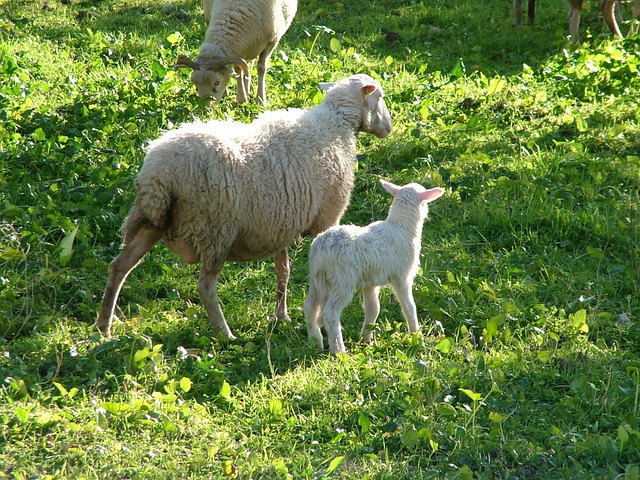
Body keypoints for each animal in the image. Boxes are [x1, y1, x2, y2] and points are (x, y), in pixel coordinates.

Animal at [94, 73, 393, 339]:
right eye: (380, 96)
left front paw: (281, 315)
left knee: (119, 267)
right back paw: (224, 333)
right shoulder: (326, 219)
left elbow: (283, 271)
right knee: (205, 286)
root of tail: (159, 173)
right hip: (215, 230)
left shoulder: (282, 222)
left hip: (149, 220)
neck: (336, 124)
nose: (389, 129)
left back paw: (103, 325)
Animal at [304, 179, 445, 355]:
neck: (401, 226)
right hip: (342, 280)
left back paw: (314, 342)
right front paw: (417, 337)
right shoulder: (401, 276)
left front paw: (366, 339)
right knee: (330, 313)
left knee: (309, 308)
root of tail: (320, 250)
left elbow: (373, 309)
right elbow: (409, 307)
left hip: (316, 279)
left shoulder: (370, 282)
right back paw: (339, 351)